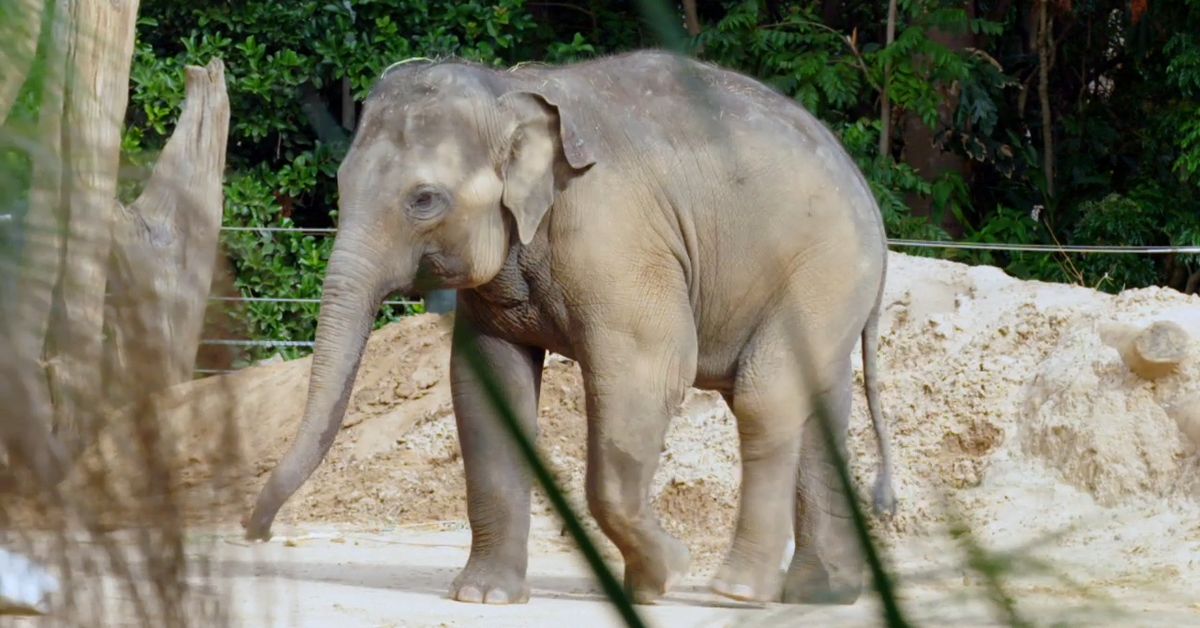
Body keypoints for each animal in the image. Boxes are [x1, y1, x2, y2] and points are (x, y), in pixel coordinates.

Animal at [243, 49, 896, 606]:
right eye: (340, 183)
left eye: (424, 199)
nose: (256, 532)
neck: (507, 90)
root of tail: (868, 193)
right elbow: (485, 386)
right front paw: (484, 596)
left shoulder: (615, 233)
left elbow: (651, 368)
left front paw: (665, 574)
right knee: (816, 407)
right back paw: (820, 594)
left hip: (823, 268)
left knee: (766, 397)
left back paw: (737, 590)